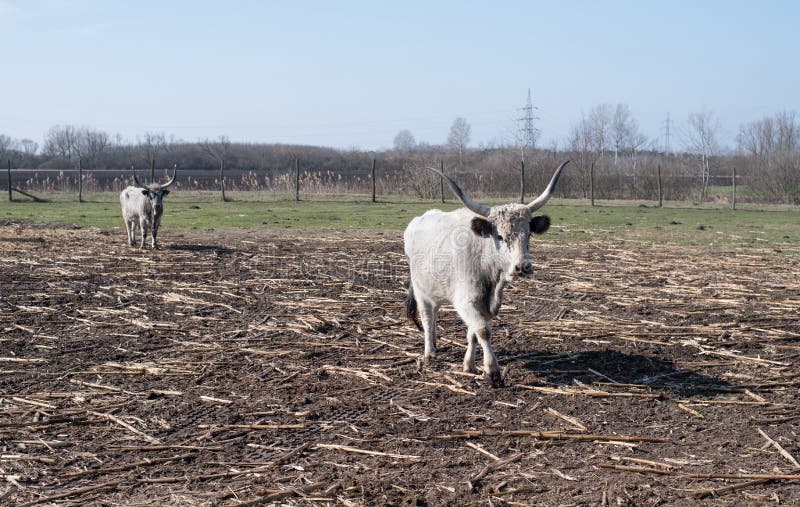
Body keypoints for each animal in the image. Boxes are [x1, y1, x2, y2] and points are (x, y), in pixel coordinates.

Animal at [404, 160, 569, 387]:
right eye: (499, 236)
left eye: (529, 234)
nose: (523, 266)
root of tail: (419, 220)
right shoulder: (466, 301)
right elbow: (482, 330)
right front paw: (492, 371)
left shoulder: (487, 304)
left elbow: (474, 333)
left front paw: (469, 365)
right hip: (421, 292)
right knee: (427, 319)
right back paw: (430, 353)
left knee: (435, 315)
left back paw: (436, 344)